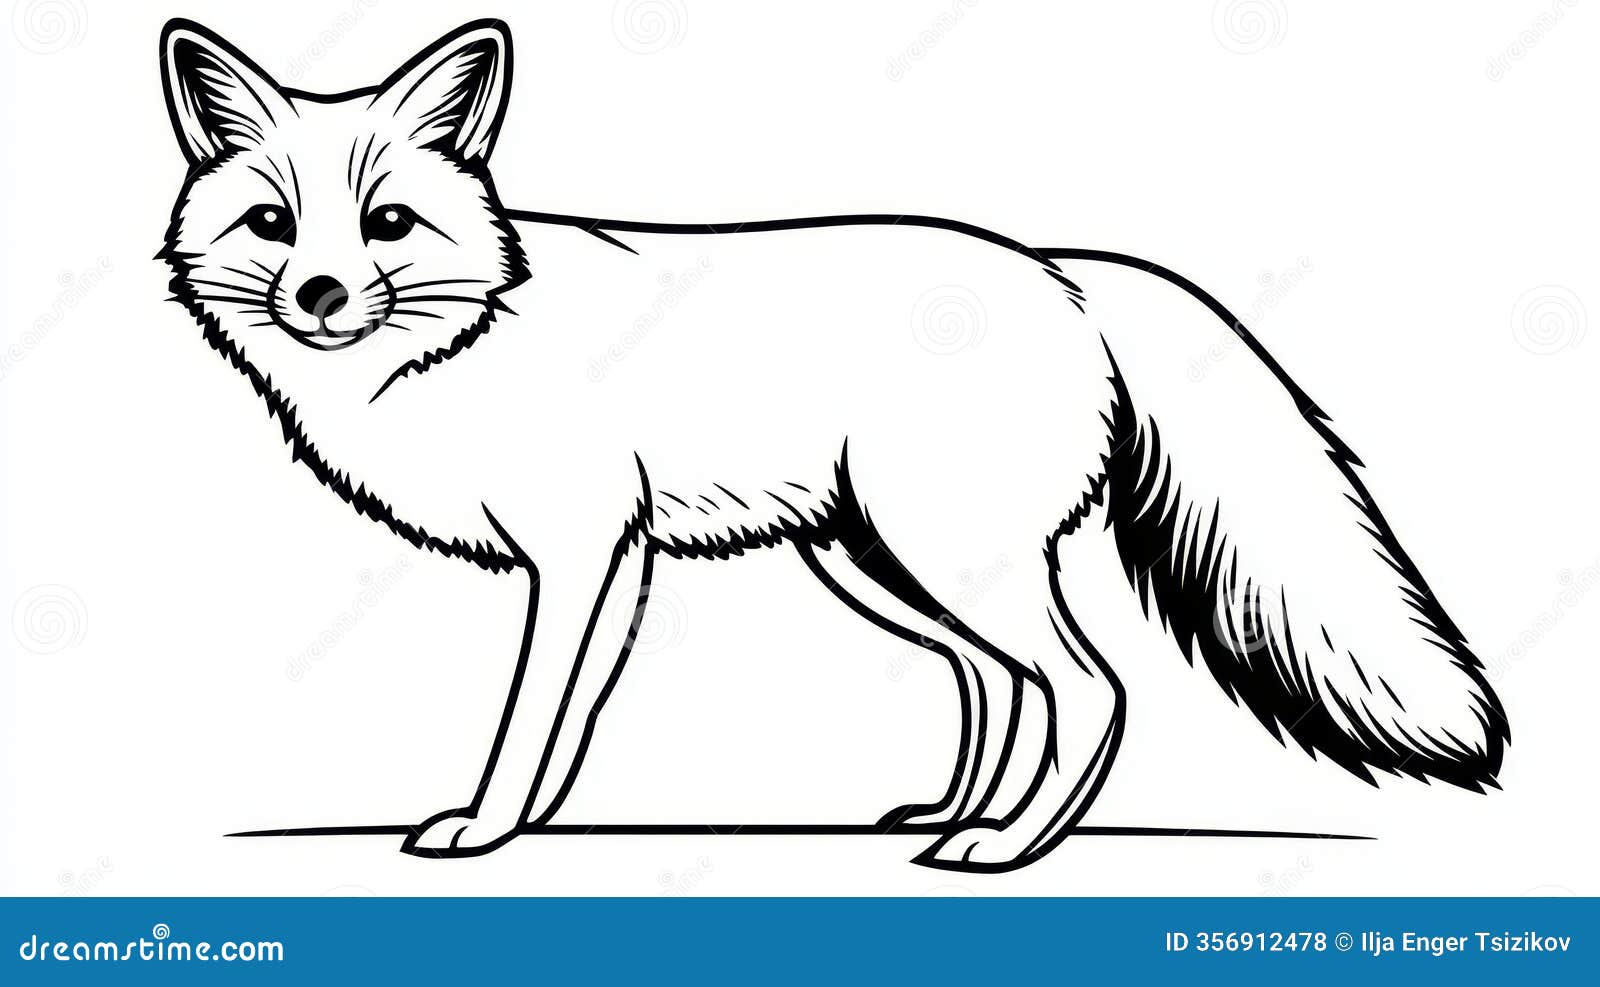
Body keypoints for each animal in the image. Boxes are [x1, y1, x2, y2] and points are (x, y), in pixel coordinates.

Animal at [158, 18, 1507, 872]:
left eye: (388, 224)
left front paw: (482, 830)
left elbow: (530, 710)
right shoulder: (617, 562)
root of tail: (1059, 270)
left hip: (940, 558)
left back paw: (1003, 850)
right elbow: (571, 718)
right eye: (272, 224)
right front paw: (527, 826)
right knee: (999, 684)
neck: (467, 334)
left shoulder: (580, 552)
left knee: (1088, 688)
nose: (321, 294)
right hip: (877, 565)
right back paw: (949, 814)